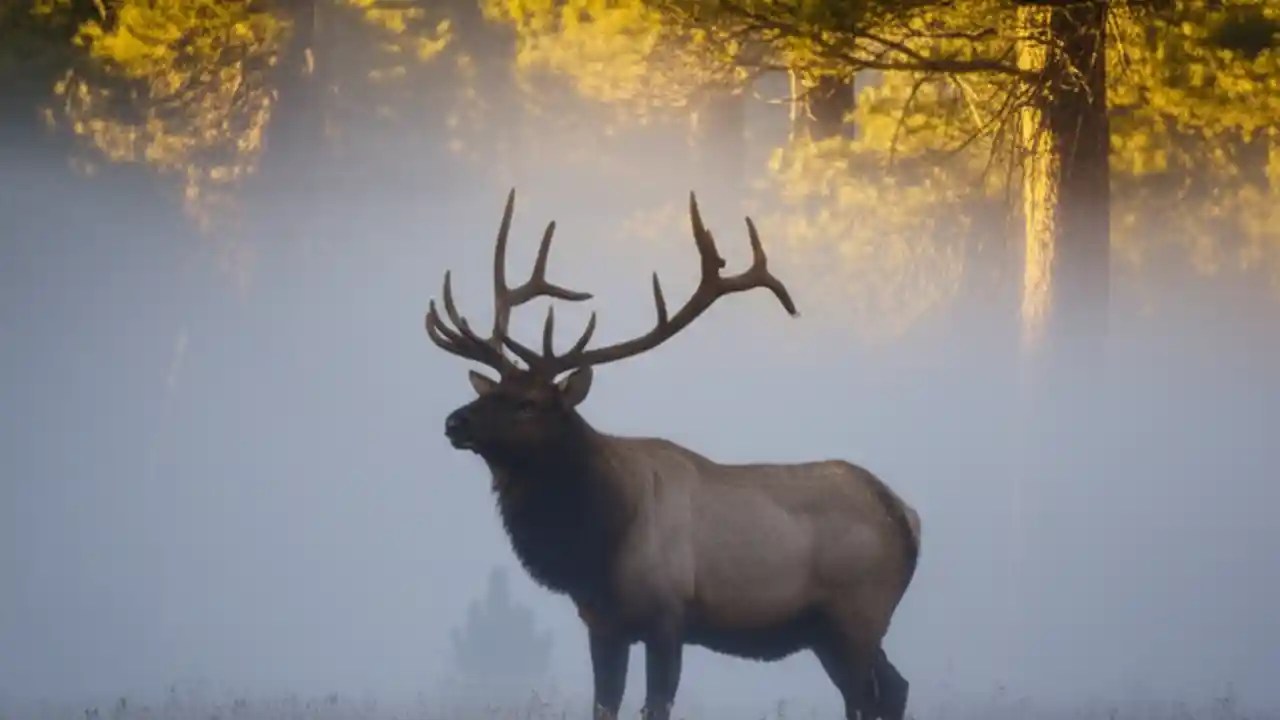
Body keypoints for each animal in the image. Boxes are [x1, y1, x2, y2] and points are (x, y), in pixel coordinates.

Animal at [424, 191, 922, 720]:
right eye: (490, 391)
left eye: (528, 403)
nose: (455, 422)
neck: (596, 543)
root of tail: (904, 516)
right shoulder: (602, 623)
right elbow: (604, 705)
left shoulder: (668, 615)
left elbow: (657, 704)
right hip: (829, 632)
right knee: (894, 687)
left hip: (858, 613)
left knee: (867, 695)